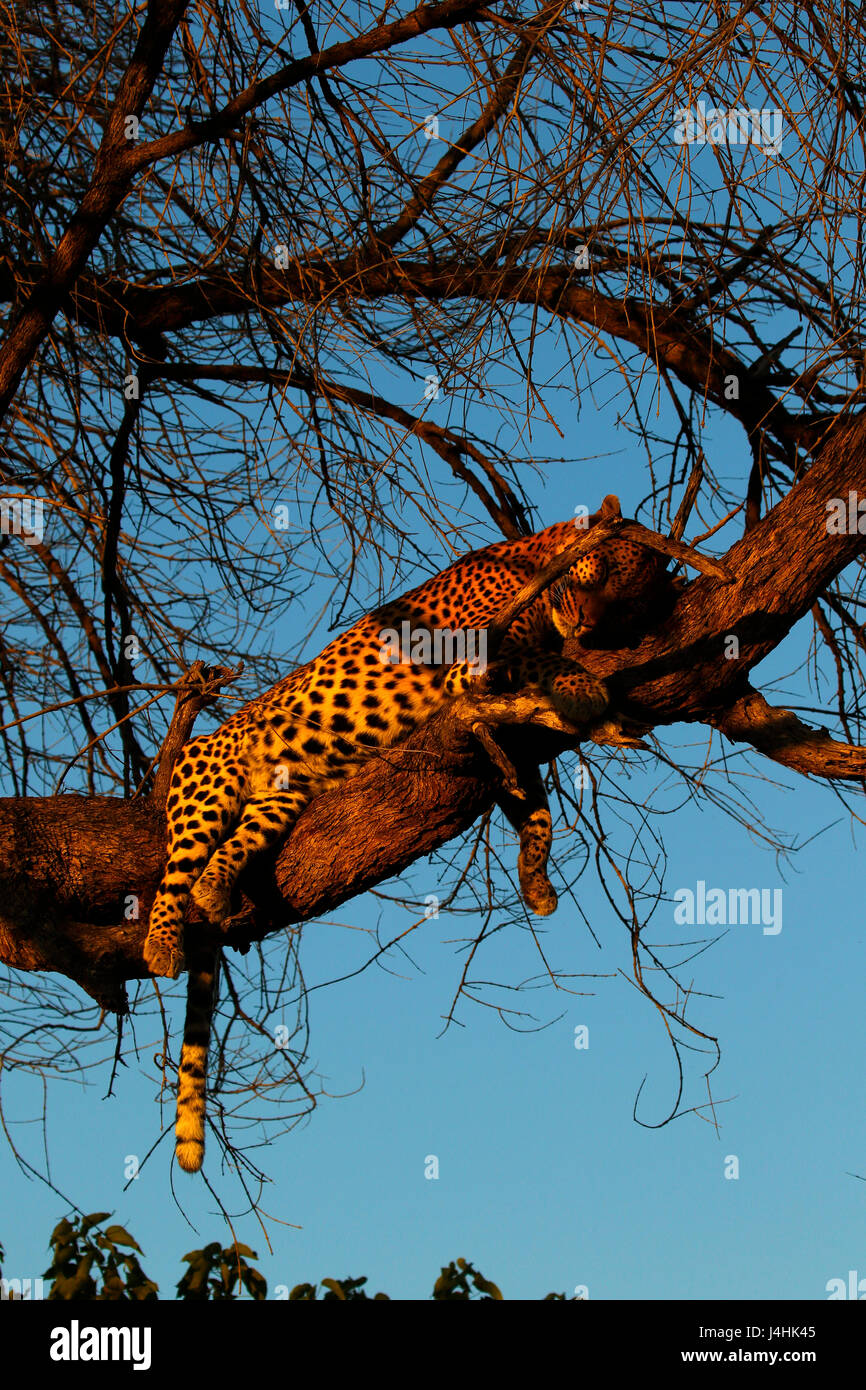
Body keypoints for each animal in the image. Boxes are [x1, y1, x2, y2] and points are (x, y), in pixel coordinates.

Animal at [143, 495, 671, 1172]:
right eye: (590, 577)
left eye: (623, 603)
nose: (585, 626)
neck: (536, 561)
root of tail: (203, 739)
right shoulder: (472, 663)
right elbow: (543, 668)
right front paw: (584, 685)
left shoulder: (497, 733)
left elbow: (533, 806)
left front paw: (536, 884)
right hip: (204, 789)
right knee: (170, 876)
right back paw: (162, 943)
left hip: (278, 799)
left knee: (221, 858)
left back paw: (215, 889)